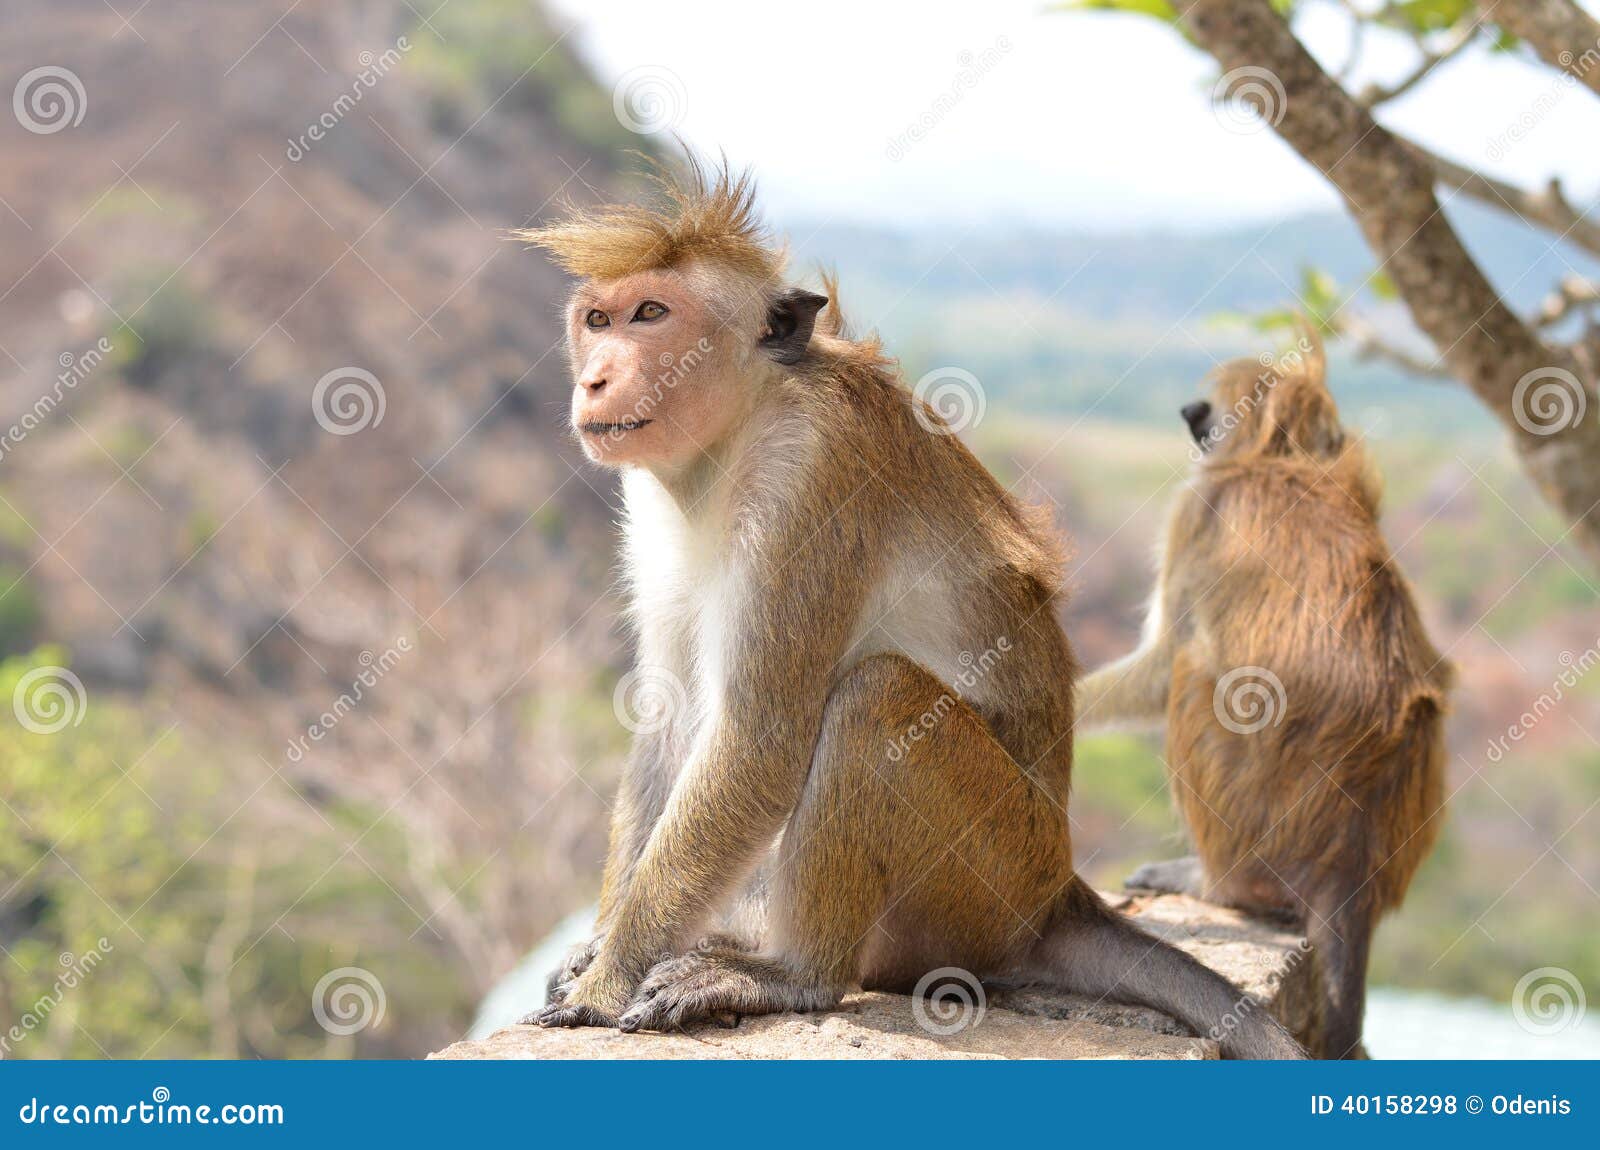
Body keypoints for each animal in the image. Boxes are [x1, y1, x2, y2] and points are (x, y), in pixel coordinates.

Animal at [510, 157, 1304, 1059]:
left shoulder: (811, 478)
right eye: (597, 319)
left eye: (651, 314)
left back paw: (793, 972)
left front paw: (607, 980)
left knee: (875, 697)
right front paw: (599, 946)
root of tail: (1057, 892)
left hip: (992, 874)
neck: (738, 431)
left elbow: (761, 740)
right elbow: (667, 716)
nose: (595, 377)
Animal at [1075, 332, 1452, 1058]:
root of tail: (1351, 865)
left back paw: (1214, 883)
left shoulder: (1200, 512)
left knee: (1191, 673)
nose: (1190, 414)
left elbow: (1162, 668)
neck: (1281, 460)